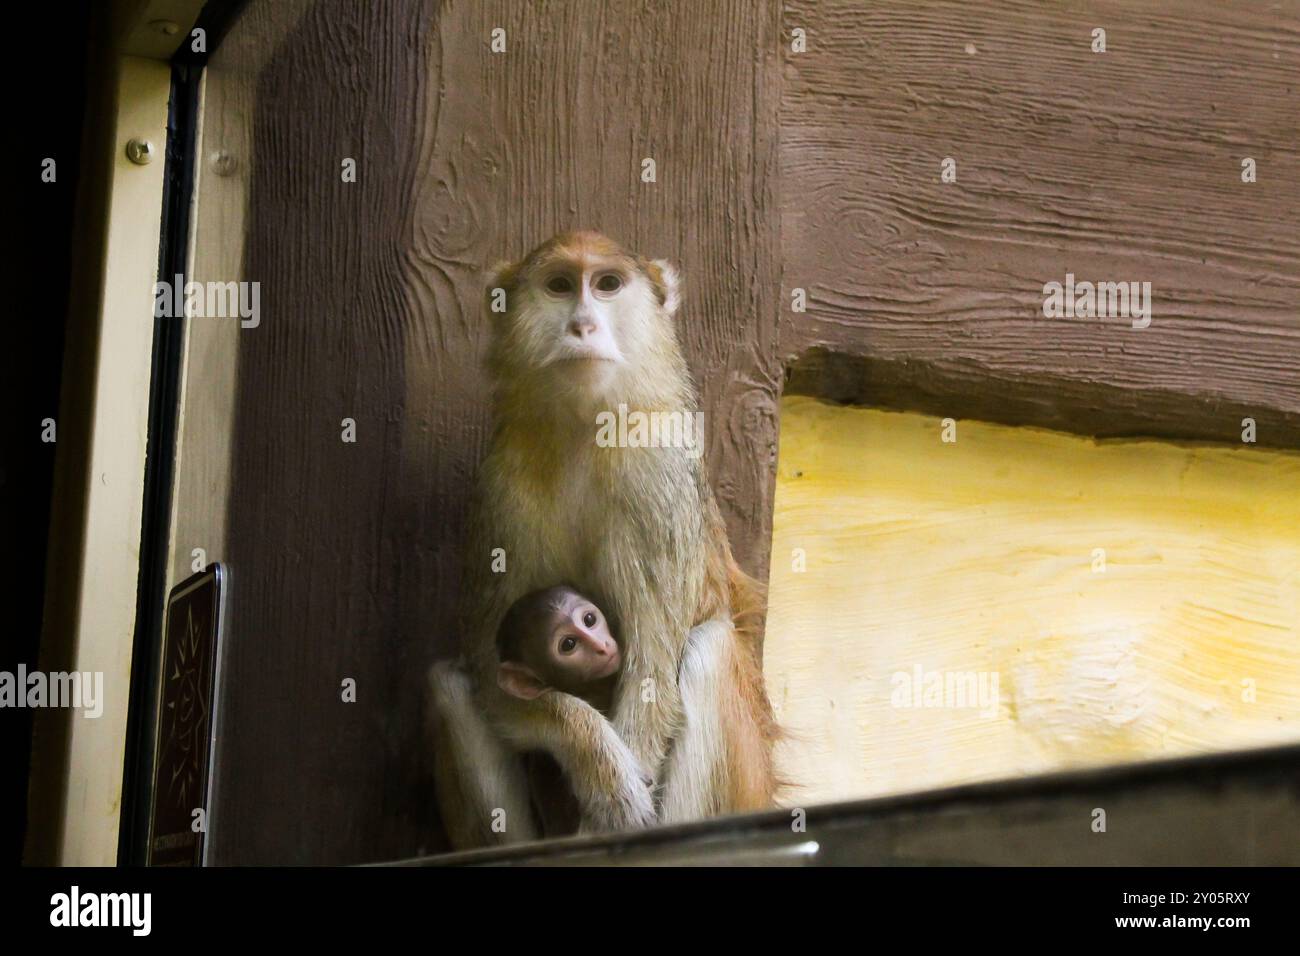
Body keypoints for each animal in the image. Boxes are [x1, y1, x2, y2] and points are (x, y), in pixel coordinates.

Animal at [427, 231, 779, 848]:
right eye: (560, 285)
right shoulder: (501, 485)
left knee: (710, 648)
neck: (586, 429)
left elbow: (651, 679)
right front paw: (599, 767)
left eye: (607, 284)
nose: (583, 324)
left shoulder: (655, 472)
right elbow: (494, 683)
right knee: (451, 685)